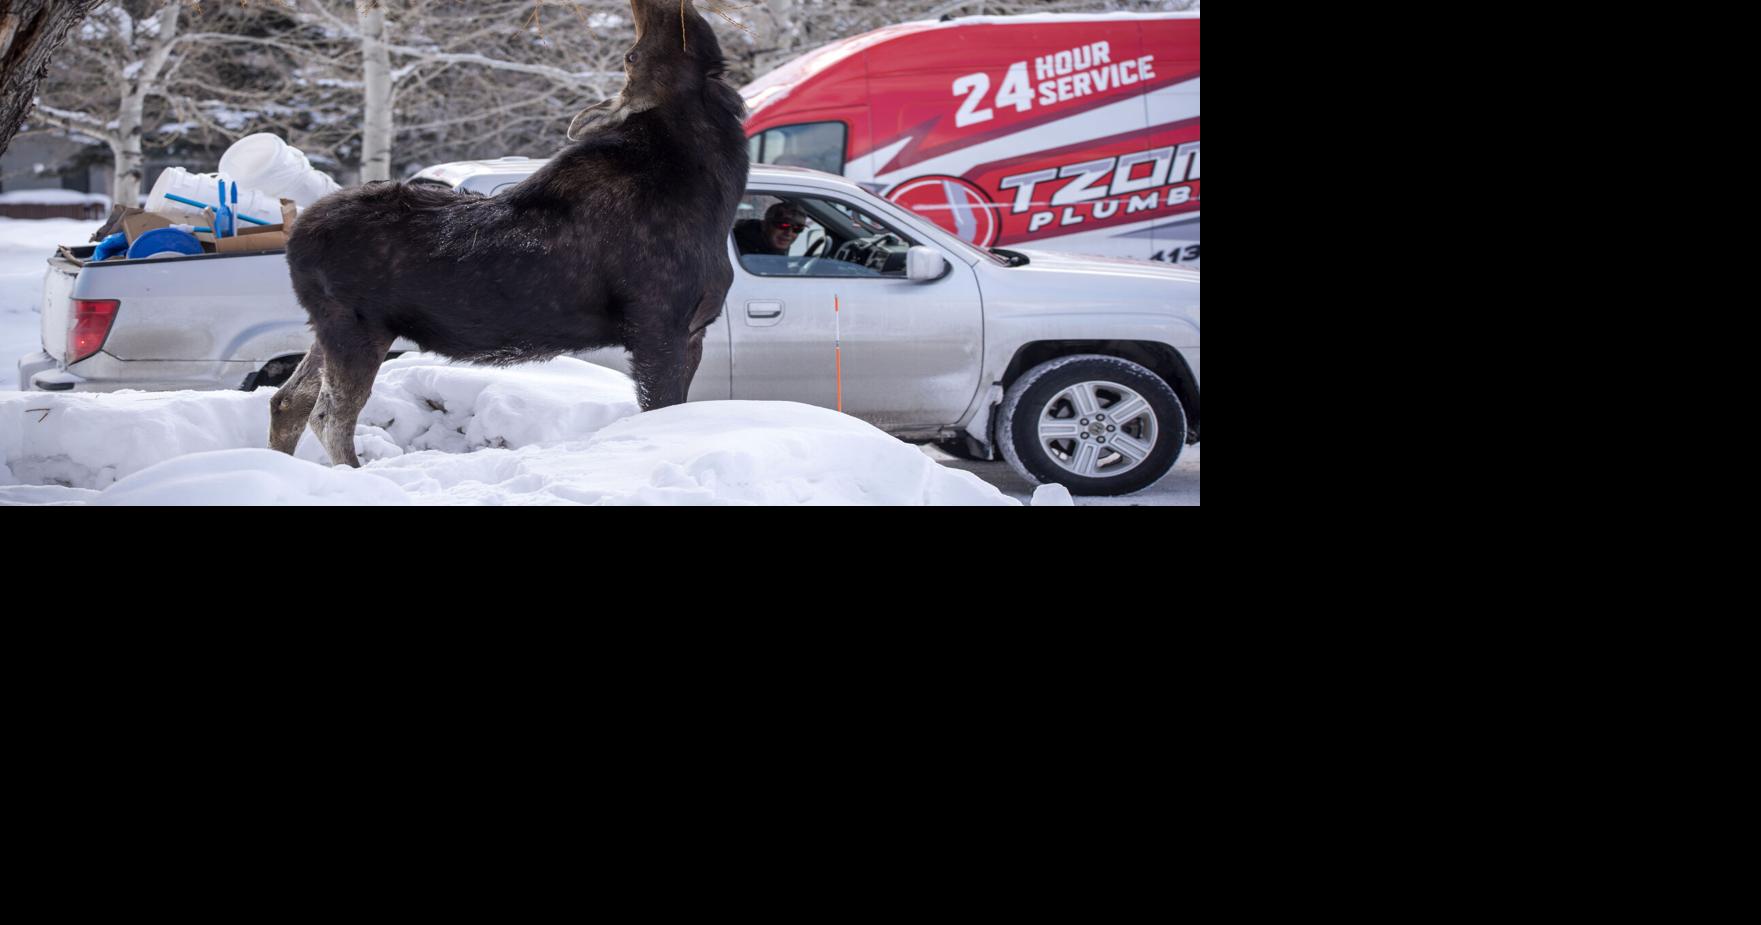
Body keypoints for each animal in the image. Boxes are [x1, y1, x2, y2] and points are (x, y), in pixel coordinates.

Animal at [270, 0, 749, 467]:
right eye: (631, 56)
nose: (657, 4)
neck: (716, 196)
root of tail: (295, 235)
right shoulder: (658, 326)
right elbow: (660, 409)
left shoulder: (693, 331)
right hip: (357, 327)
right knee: (329, 416)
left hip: (326, 328)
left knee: (287, 401)